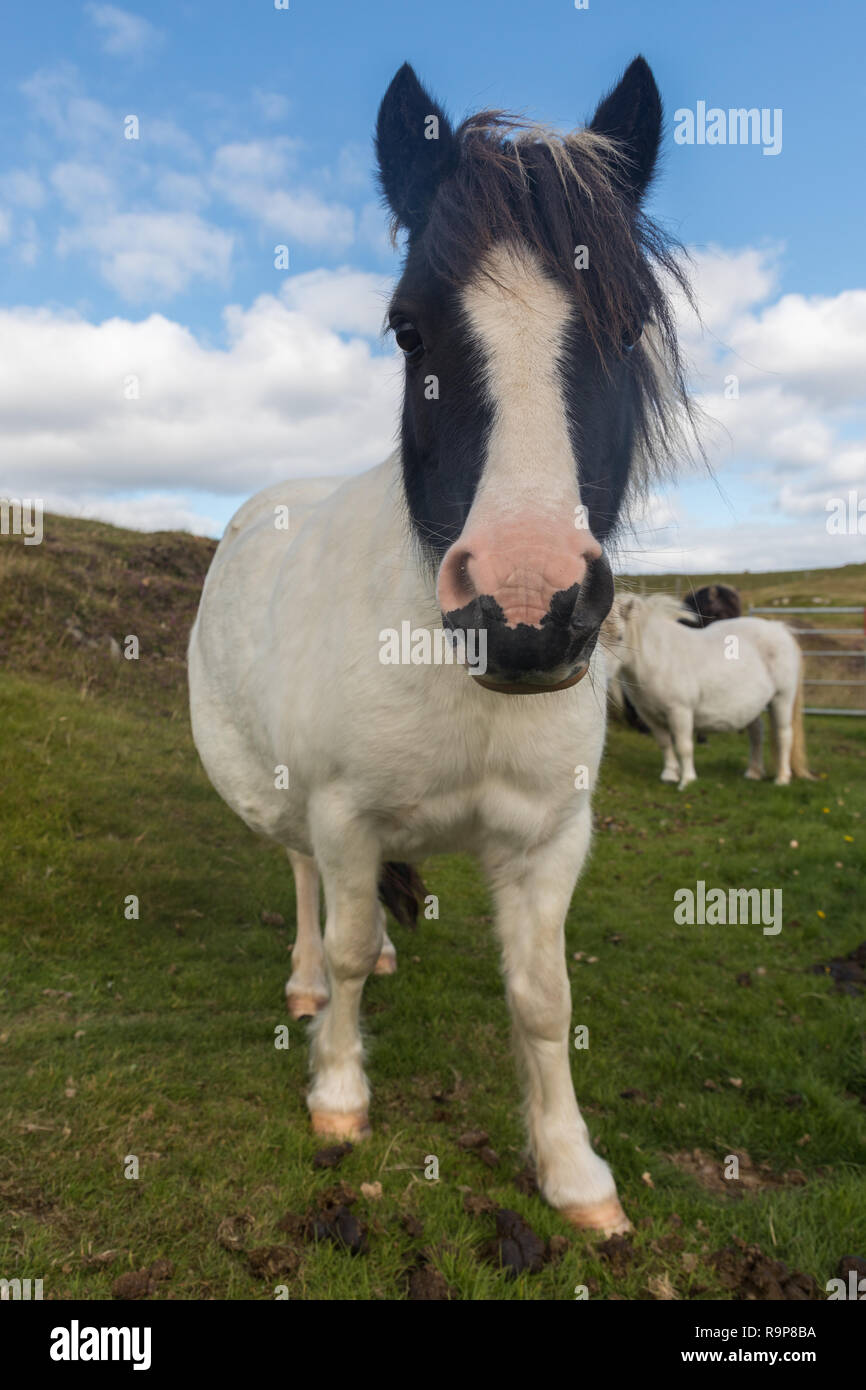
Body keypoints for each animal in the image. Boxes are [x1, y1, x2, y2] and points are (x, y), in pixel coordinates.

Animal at [188, 57, 694, 1238]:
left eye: (628, 326)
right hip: (286, 801)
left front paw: (573, 1172)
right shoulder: (342, 811)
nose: (526, 604)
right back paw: (309, 983)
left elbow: (544, 999)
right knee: (306, 886)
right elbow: (334, 938)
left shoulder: (551, 840)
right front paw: (337, 1094)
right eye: (407, 331)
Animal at [603, 594, 813, 789]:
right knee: (756, 733)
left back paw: (782, 778)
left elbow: (684, 746)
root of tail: (780, 629)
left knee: (784, 735)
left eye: (620, 637)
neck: (659, 657)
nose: (604, 680)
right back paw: (753, 772)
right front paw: (670, 775)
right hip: (752, 705)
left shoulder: (680, 712)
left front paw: (687, 780)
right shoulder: (649, 716)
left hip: (782, 698)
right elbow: (664, 743)